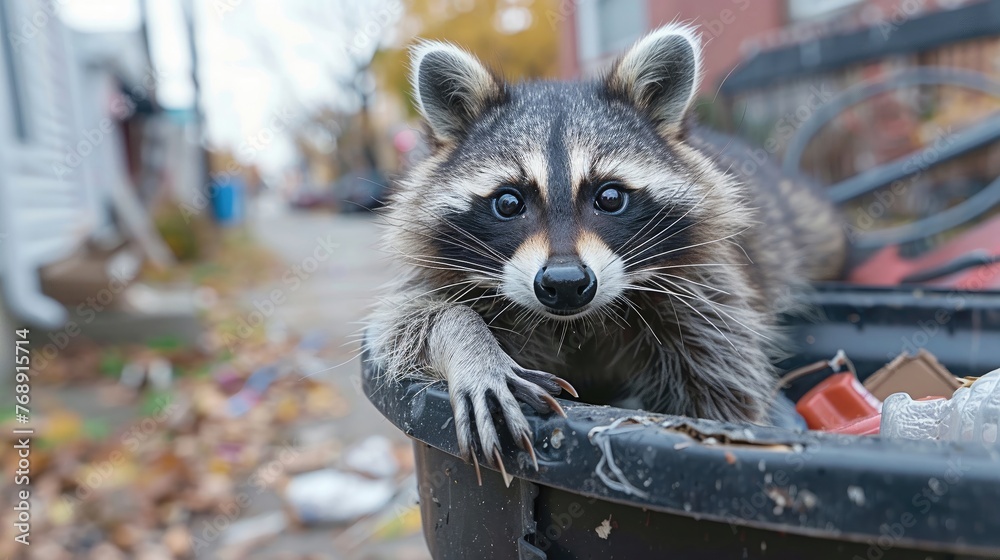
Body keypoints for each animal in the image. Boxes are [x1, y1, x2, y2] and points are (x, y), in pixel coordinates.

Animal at [367, 25, 846, 474]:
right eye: (508, 203)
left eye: (610, 197)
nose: (564, 283)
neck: (574, 323)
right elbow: (402, 321)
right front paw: (468, 344)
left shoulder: (705, 290)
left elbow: (723, 388)